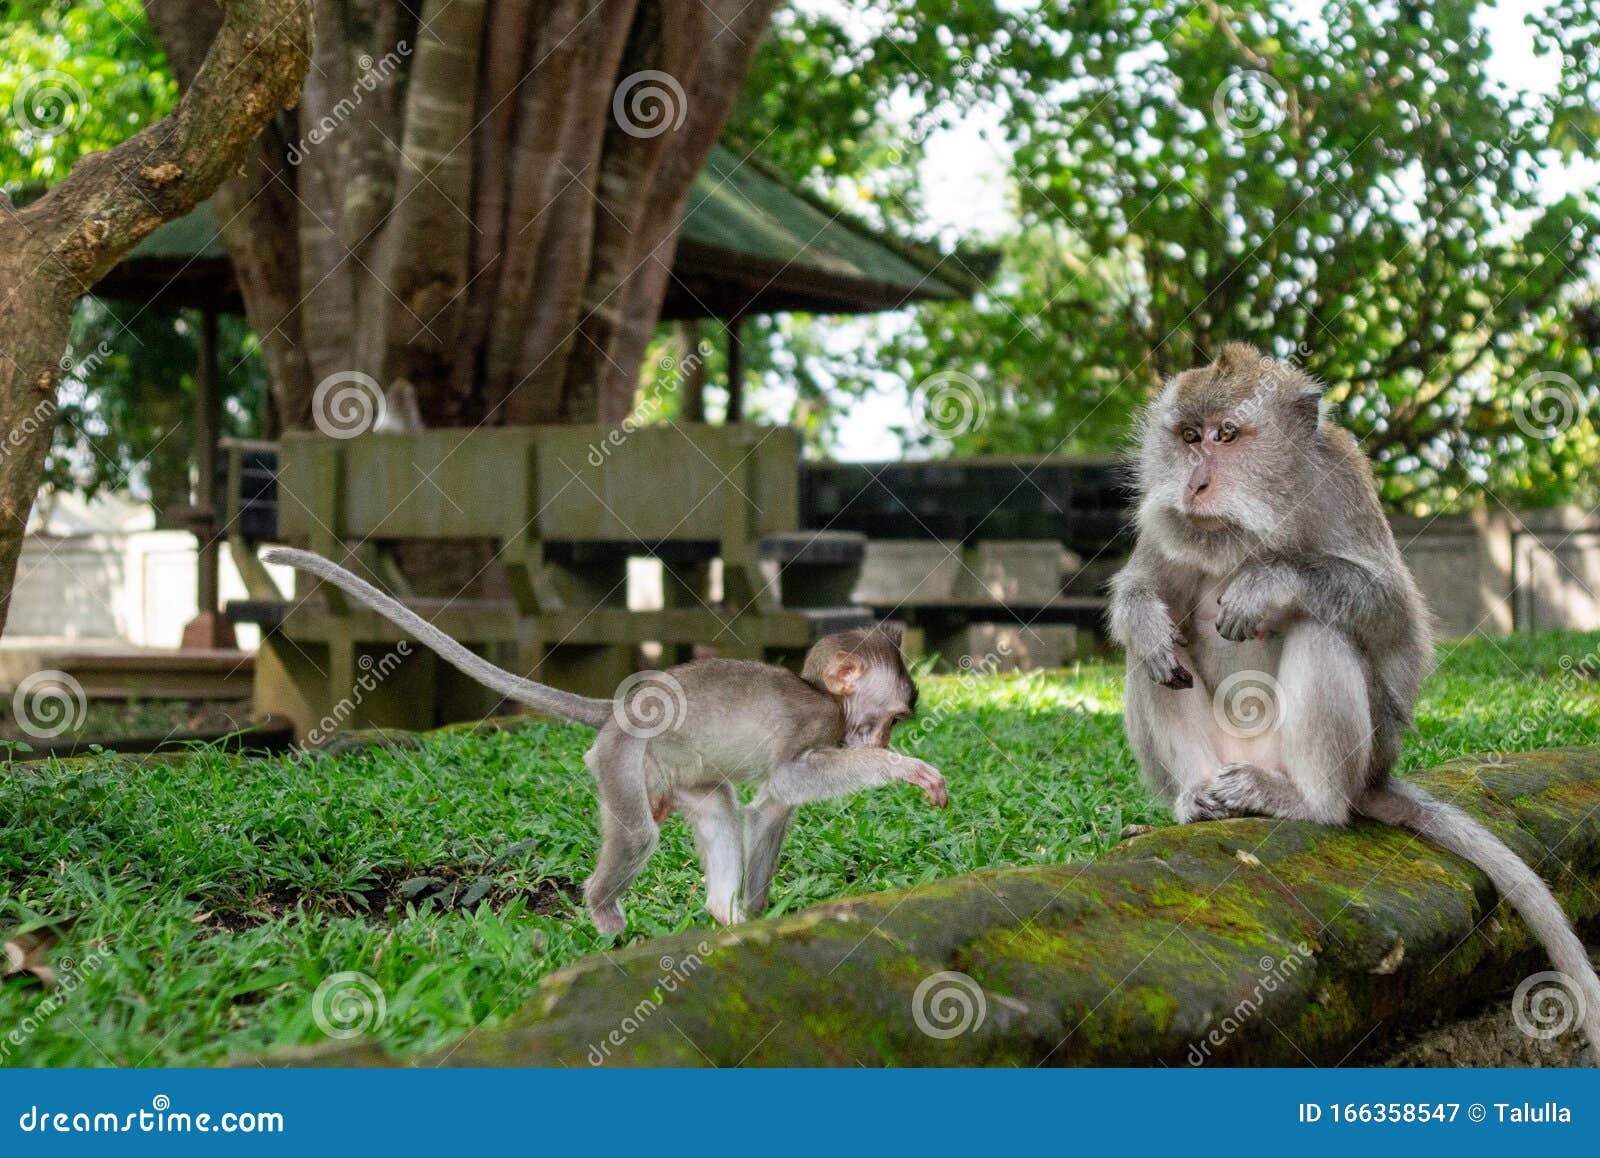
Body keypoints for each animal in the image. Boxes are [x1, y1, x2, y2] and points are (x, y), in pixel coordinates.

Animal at [262, 548, 947, 935]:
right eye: (892, 719)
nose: (878, 737)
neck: (827, 700)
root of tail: (620, 710)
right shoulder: (814, 724)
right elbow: (787, 780)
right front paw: (903, 768)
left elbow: (771, 808)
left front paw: (755, 915)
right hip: (619, 760)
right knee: (639, 834)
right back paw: (604, 916)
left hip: (674, 774)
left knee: (718, 811)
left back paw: (722, 917)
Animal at [1108, 342, 1600, 1060]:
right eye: (1190, 437)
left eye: (1228, 436)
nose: (1193, 486)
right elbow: (1146, 589)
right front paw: (1146, 617)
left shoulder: (1341, 485)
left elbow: (1394, 617)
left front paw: (1268, 580)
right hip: (1222, 752)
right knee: (1155, 665)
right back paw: (1198, 796)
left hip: (1350, 754)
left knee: (1322, 629)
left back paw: (1308, 803)